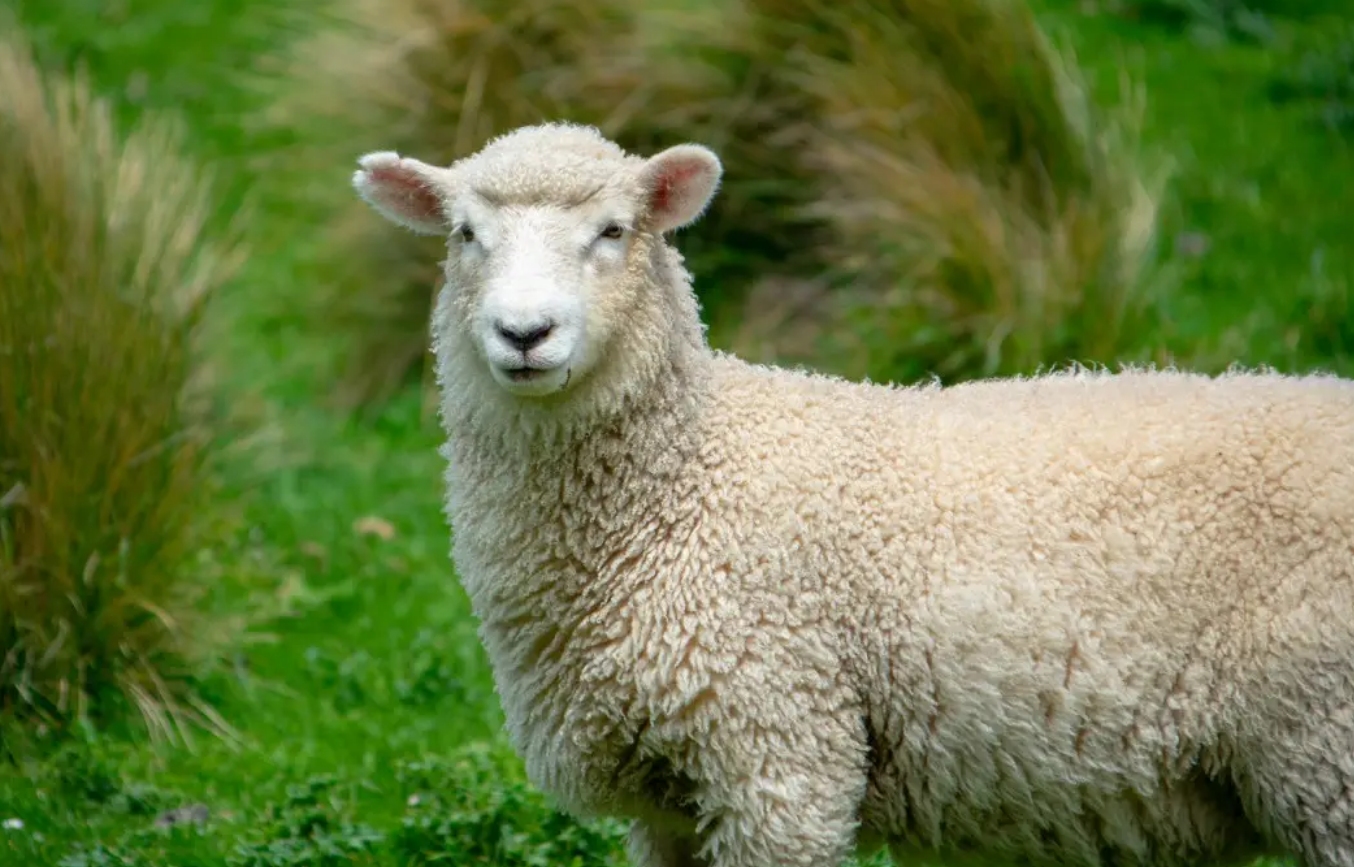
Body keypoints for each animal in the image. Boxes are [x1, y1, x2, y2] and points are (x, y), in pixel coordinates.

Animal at [351, 121, 1354, 867]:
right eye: (465, 235)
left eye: (613, 232)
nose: (525, 333)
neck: (684, 482)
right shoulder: (670, 800)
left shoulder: (779, 746)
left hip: (1323, 747)